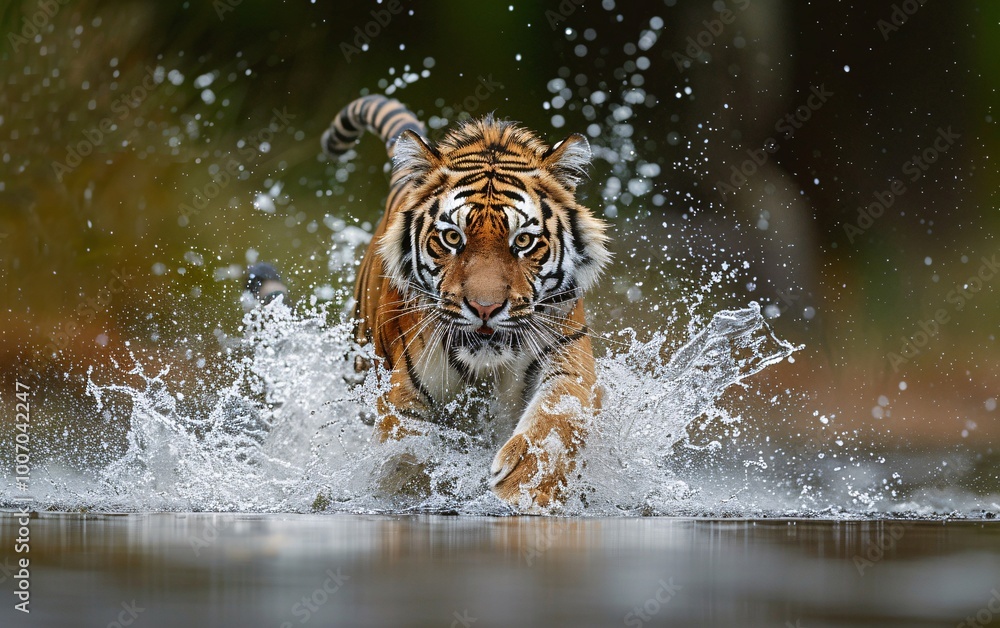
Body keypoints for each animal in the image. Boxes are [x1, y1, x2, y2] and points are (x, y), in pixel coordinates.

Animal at [319, 94, 610, 510]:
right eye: (453, 237)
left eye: (523, 241)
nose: (485, 308)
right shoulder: (404, 396)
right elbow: (405, 455)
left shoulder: (569, 357)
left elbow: (558, 416)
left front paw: (525, 484)